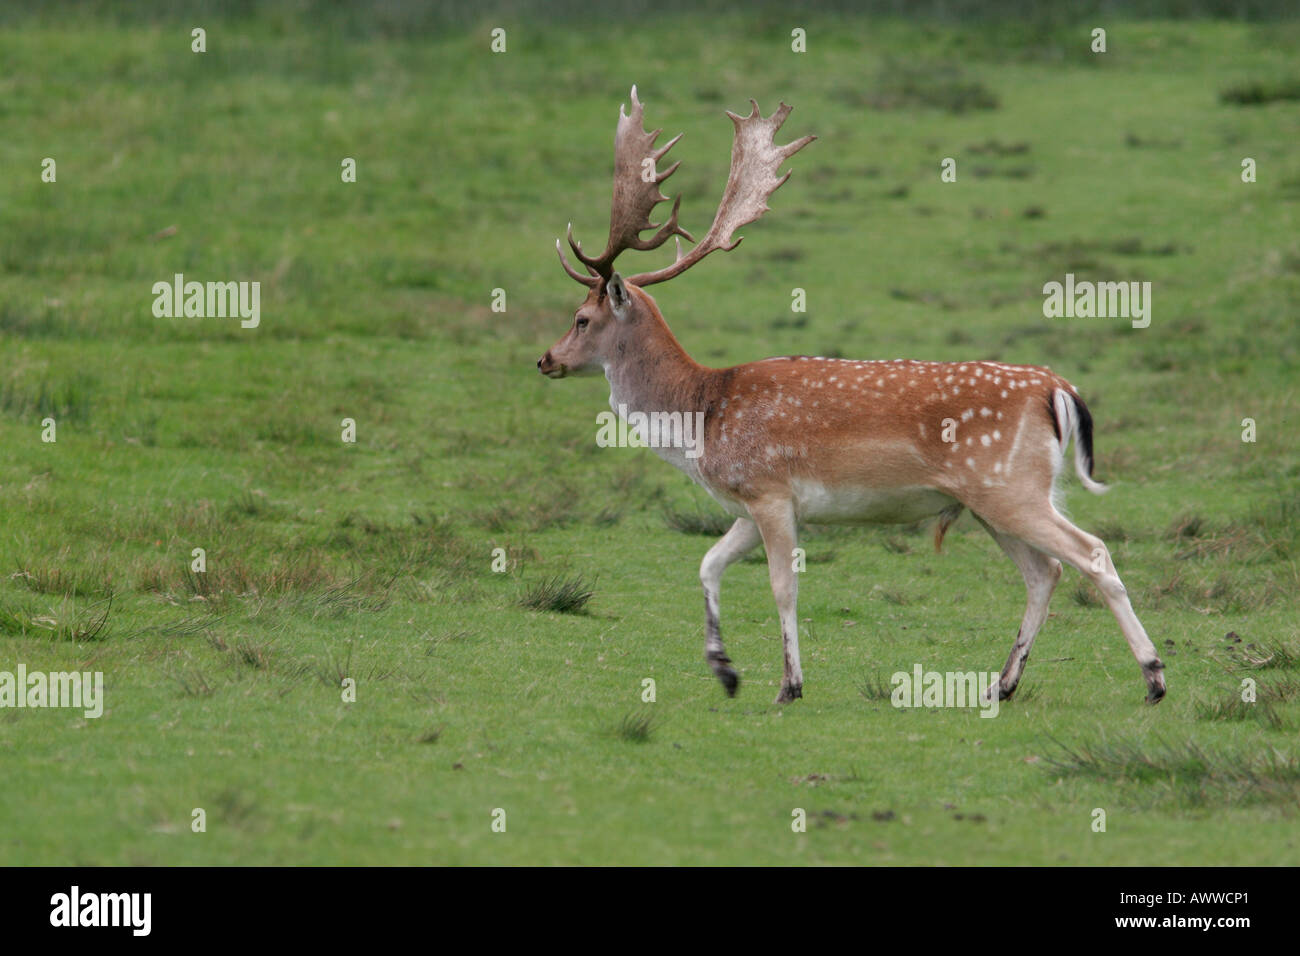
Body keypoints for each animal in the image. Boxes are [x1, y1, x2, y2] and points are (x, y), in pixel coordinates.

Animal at [537, 87, 1166, 707]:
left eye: (581, 318)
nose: (545, 359)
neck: (703, 415)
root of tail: (1057, 388)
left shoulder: (769, 490)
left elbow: (781, 587)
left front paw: (788, 685)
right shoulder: (750, 505)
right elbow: (708, 564)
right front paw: (725, 670)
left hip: (1010, 487)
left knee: (1091, 552)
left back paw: (1154, 676)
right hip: (995, 500)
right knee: (1044, 573)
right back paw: (1000, 685)